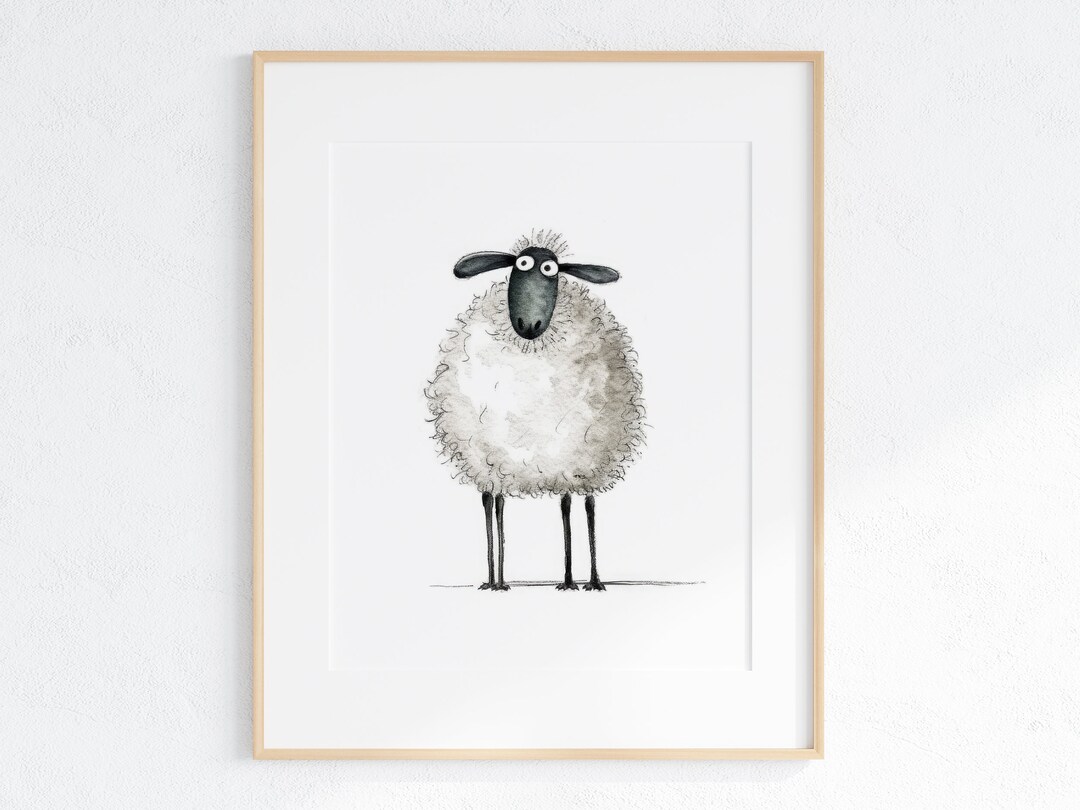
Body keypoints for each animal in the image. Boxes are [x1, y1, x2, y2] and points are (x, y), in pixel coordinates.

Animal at [425, 230, 646, 591]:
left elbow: (578, 504)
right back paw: (497, 581)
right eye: (522, 264)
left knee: (578, 502)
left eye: (550, 269)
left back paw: (581, 580)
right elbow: (494, 504)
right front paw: (496, 582)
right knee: (495, 502)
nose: (528, 324)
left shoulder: (578, 458)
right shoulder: (490, 460)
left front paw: (582, 581)